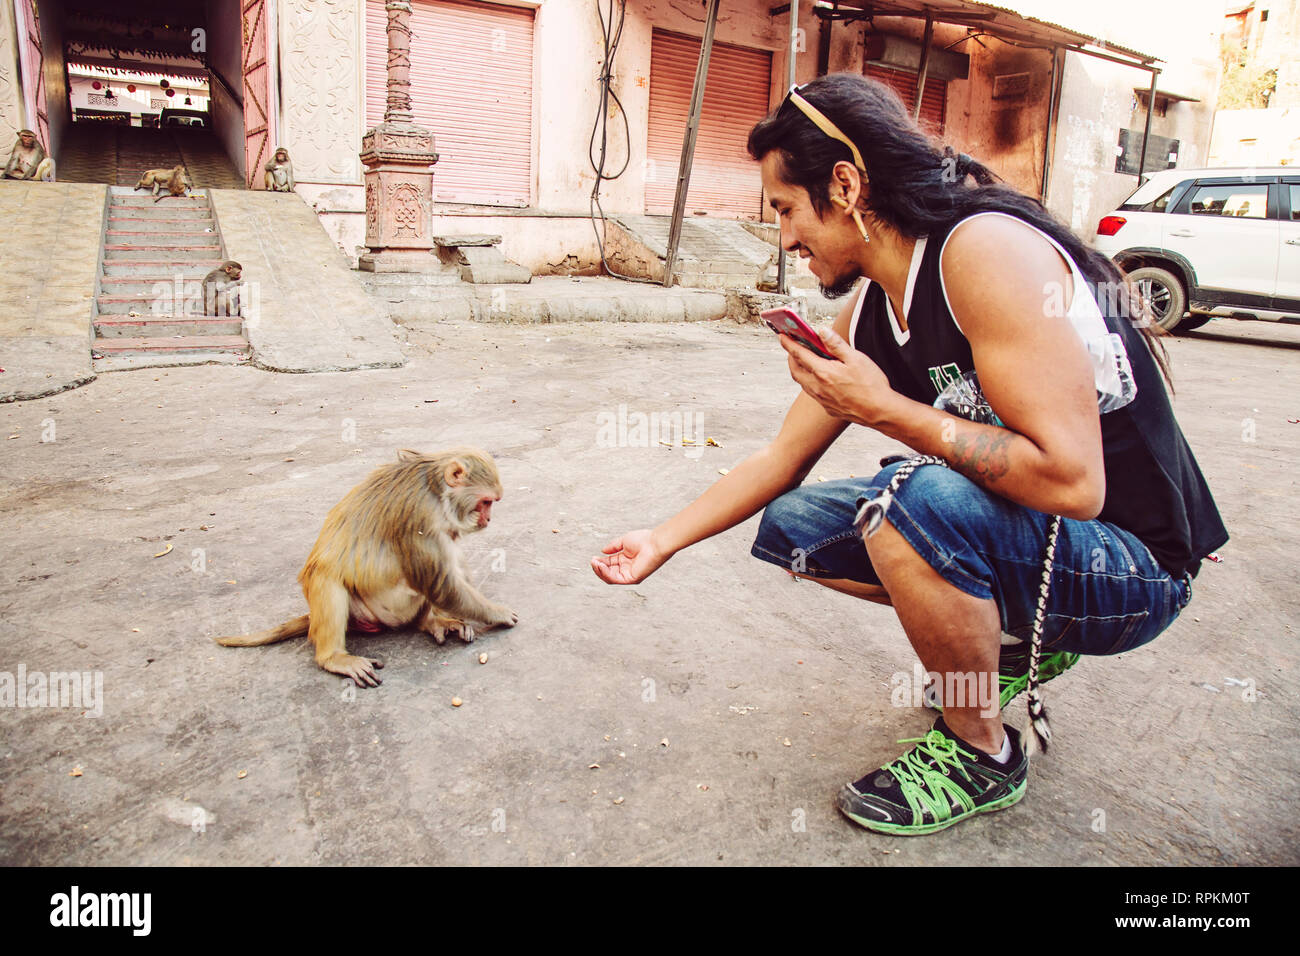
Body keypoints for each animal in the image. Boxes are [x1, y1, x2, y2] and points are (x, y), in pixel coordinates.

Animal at [215, 449, 518, 686]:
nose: (488, 519)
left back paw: (430, 621)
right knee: (328, 580)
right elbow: (439, 584)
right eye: (486, 502)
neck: (435, 489)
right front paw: (497, 612)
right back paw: (333, 657)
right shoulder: (418, 515)